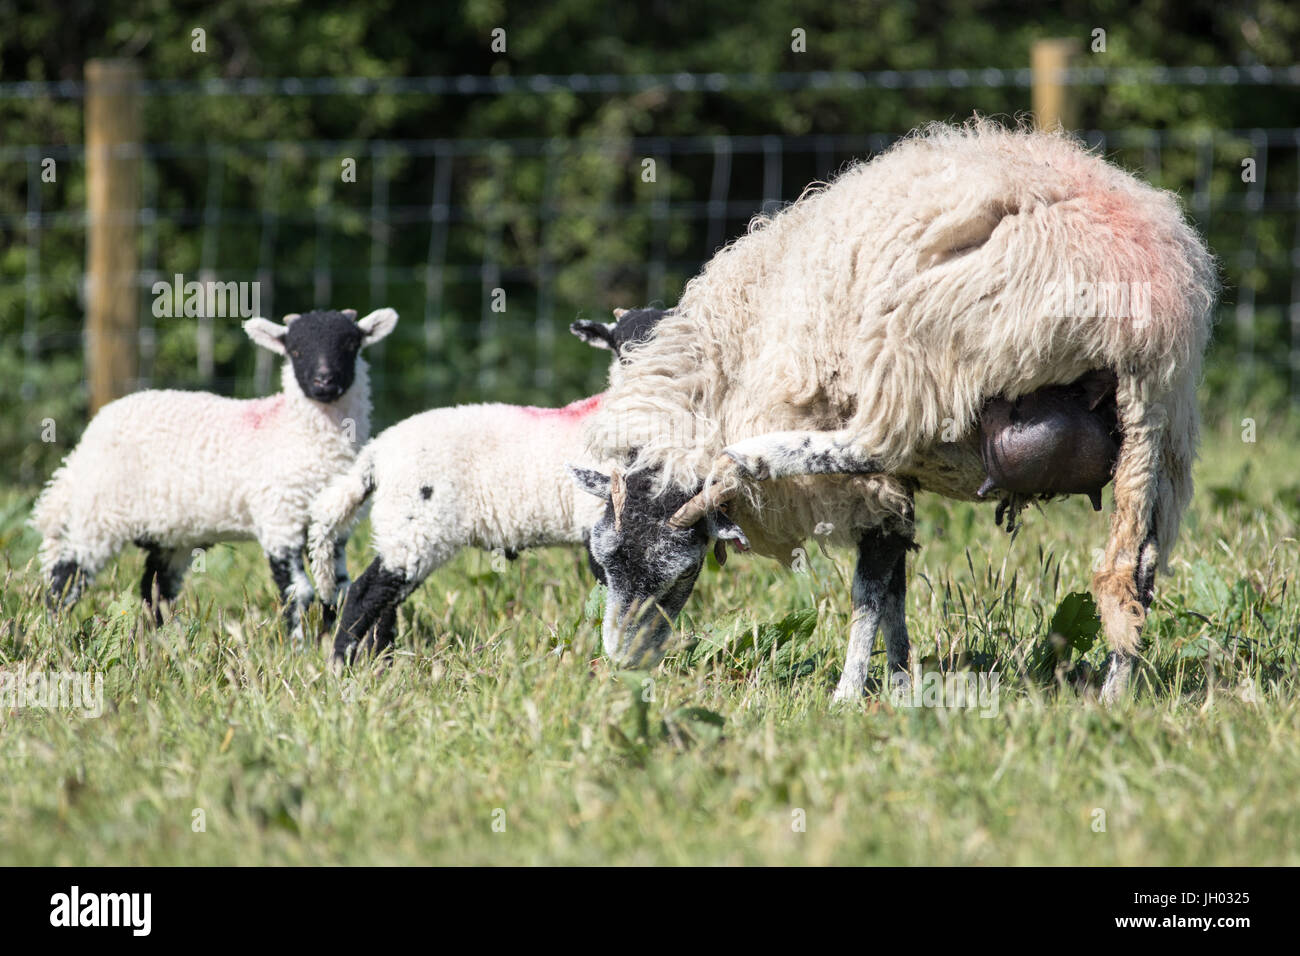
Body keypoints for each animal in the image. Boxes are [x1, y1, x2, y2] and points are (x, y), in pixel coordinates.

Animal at [31, 307, 399, 638]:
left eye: (351, 344)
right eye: (295, 350)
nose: (324, 380)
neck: (292, 431)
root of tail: (84, 447)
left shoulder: (336, 527)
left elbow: (336, 589)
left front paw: (330, 642)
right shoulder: (279, 517)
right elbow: (299, 591)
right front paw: (298, 649)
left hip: (171, 532)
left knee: (155, 589)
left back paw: (161, 642)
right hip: (99, 513)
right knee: (66, 576)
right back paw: (54, 634)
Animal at [309, 307, 667, 663]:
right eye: (622, 350)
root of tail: (377, 452)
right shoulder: (598, 517)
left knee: (385, 601)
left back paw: (381, 659)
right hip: (414, 522)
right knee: (365, 591)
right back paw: (342, 661)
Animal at [574, 120, 1217, 705]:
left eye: (682, 574)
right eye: (600, 568)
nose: (624, 664)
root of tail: (1146, 306)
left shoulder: (866, 480)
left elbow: (868, 589)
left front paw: (849, 694)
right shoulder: (893, 494)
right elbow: (892, 586)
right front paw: (902, 685)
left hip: (923, 348)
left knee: (873, 442)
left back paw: (752, 458)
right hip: (1160, 436)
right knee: (1135, 570)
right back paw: (1116, 693)